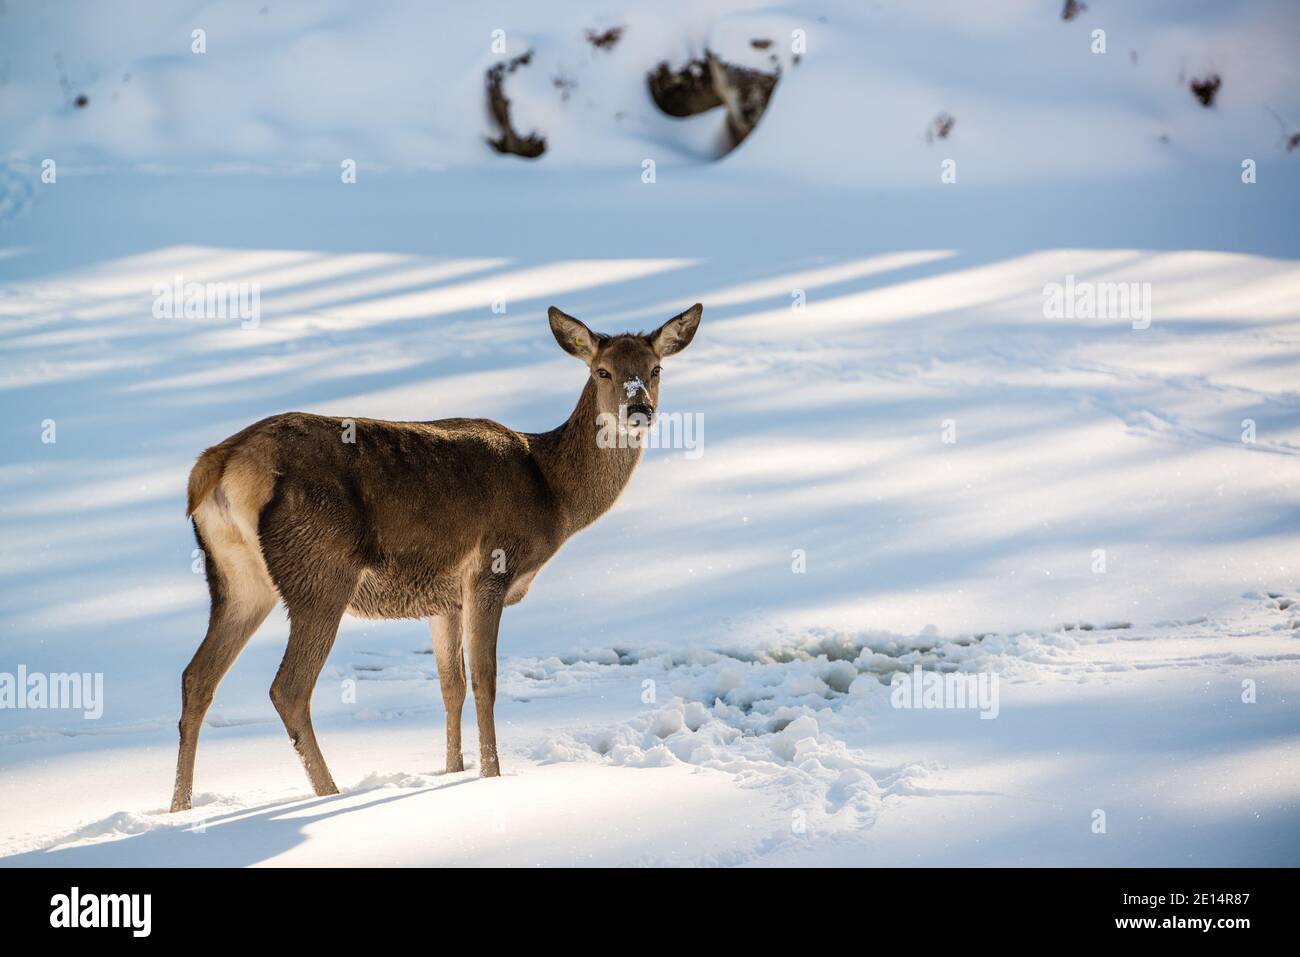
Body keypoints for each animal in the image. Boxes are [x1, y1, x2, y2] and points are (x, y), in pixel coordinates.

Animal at [170, 304, 702, 812]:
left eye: (654, 368)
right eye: (602, 371)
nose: (639, 409)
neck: (552, 494)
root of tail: (216, 465)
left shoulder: (444, 598)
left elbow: (452, 686)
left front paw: (451, 773)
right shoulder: (490, 567)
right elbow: (485, 680)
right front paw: (491, 776)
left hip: (238, 578)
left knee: (197, 676)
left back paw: (179, 807)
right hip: (319, 568)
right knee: (289, 687)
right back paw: (331, 794)